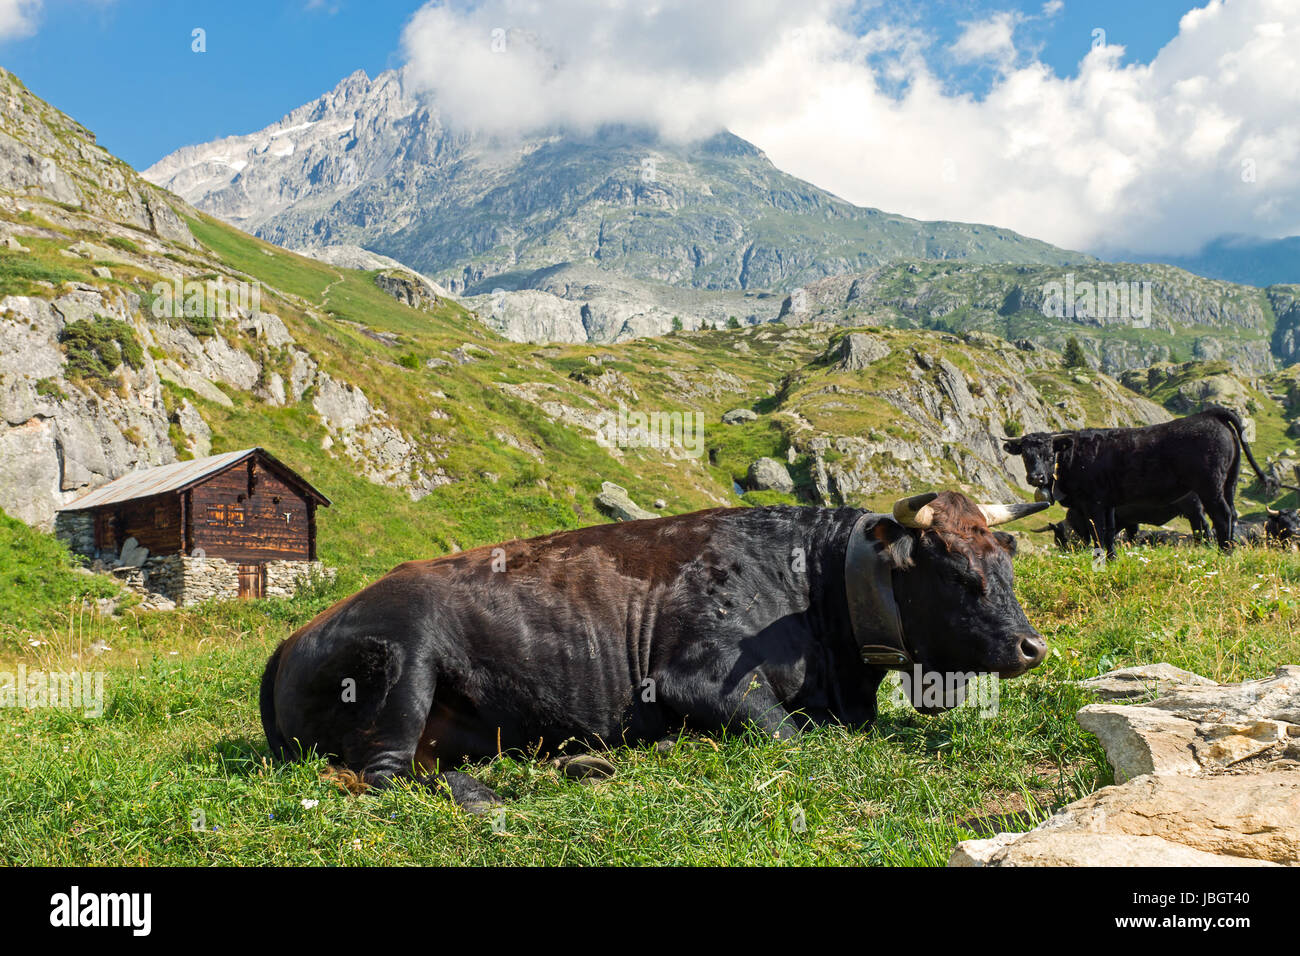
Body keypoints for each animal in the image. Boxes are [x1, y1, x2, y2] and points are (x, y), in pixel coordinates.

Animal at [260, 491, 1049, 812]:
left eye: (1007, 557)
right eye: (958, 571)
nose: (1032, 645)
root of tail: (289, 640)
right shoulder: (691, 680)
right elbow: (790, 736)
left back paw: (579, 763)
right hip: (405, 661)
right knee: (382, 774)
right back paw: (488, 796)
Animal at [1002, 406, 1272, 557]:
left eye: (1050, 454)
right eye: (1025, 455)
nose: (1036, 477)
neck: (1071, 458)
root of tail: (1210, 415)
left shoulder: (1093, 503)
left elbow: (1098, 532)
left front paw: (1099, 559)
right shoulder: (1109, 504)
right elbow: (1110, 533)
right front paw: (1111, 559)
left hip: (1209, 487)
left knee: (1220, 517)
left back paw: (1224, 553)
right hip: (1229, 483)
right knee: (1232, 514)